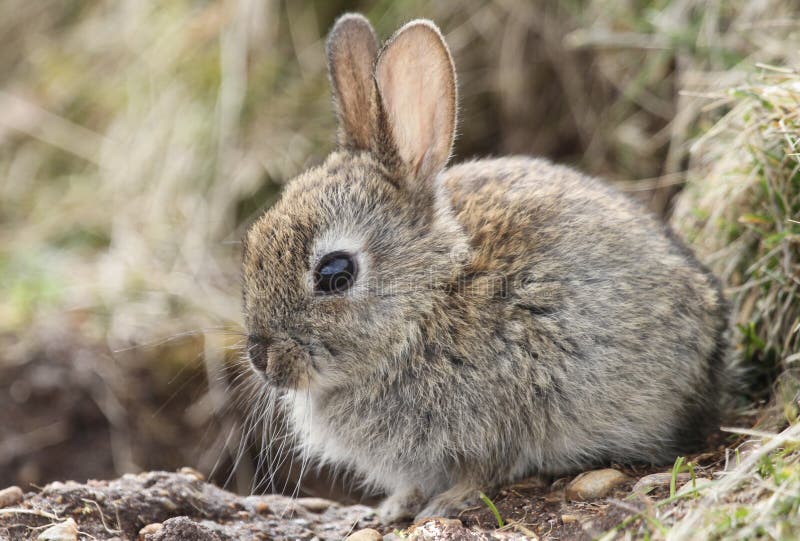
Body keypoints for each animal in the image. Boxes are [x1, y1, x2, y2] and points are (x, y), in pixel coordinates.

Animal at [241, 13, 731, 522]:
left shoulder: (505, 412)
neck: (429, 301)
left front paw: (444, 503)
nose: (261, 357)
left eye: (335, 273)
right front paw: (393, 507)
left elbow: (486, 467)